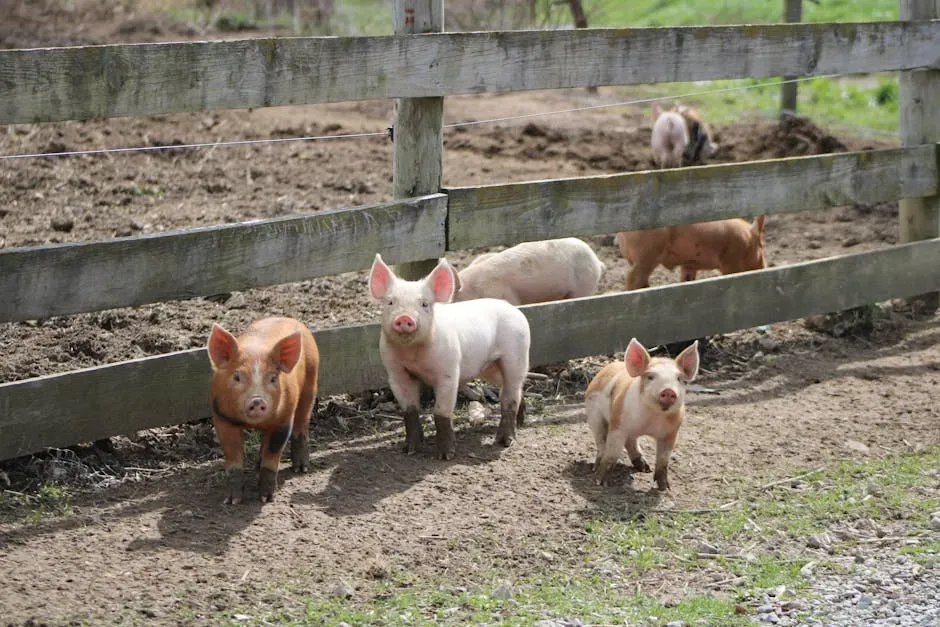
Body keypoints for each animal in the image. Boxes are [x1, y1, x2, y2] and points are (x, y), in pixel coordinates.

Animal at [207, 317, 320, 504]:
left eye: (273, 378)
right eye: (237, 376)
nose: (257, 399)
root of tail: (290, 319)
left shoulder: (284, 419)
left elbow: (273, 453)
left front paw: (266, 499)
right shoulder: (222, 417)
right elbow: (233, 457)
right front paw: (232, 501)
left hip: (311, 380)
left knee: (302, 421)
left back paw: (301, 469)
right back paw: (257, 466)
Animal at [368, 253, 531, 459]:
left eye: (425, 304)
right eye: (390, 302)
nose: (404, 318)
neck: (414, 355)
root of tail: (513, 309)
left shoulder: (449, 370)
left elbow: (441, 413)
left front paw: (446, 456)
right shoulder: (395, 373)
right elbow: (410, 411)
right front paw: (409, 450)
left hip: (516, 354)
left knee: (511, 394)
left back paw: (504, 442)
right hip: (489, 368)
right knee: (511, 390)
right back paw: (521, 423)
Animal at [585, 338, 699, 490]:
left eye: (679, 379)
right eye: (650, 377)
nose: (669, 390)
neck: (652, 418)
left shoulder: (672, 433)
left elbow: (663, 460)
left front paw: (665, 488)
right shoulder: (618, 425)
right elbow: (611, 454)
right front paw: (600, 483)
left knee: (631, 442)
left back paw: (645, 468)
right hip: (594, 415)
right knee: (601, 443)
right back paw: (595, 468)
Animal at [615, 215, 767, 291]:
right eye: (762, 245)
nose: (765, 267)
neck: (748, 240)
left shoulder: (689, 265)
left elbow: (686, 279)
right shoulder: (731, 259)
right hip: (647, 254)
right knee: (633, 278)